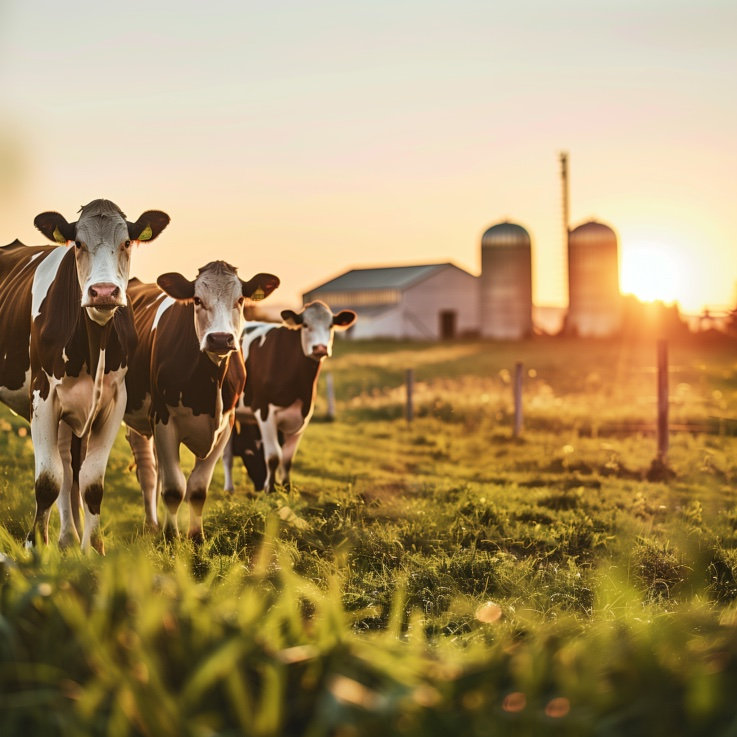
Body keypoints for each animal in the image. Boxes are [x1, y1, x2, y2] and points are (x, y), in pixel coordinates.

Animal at [0, 200, 170, 552]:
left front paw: (92, 547)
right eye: (78, 243)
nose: (103, 292)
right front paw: (35, 546)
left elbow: (90, 481)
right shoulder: (43, 397)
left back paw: (69, 538)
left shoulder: (113, 403)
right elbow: (48, 480)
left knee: (70, 468)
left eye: (127, 242)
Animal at [124, 261, 279, 542]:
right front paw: (171, 538)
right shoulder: (163, 419)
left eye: (240, 299)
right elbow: (174, 488)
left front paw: (196, 538)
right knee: (147, 471)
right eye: (197, 300)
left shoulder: (225, 426)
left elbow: (197, 489)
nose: (220, 338)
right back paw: (152, 525)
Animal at [222, 300, 356, 494]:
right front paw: (270, 489)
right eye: (305, 325)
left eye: (330, 325)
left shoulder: (302, 417)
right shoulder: (264, 412)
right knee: (226, 454)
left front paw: (286, 487)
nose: (320, 348)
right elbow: (273, 456)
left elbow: (287, 459)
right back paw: (229, 488)